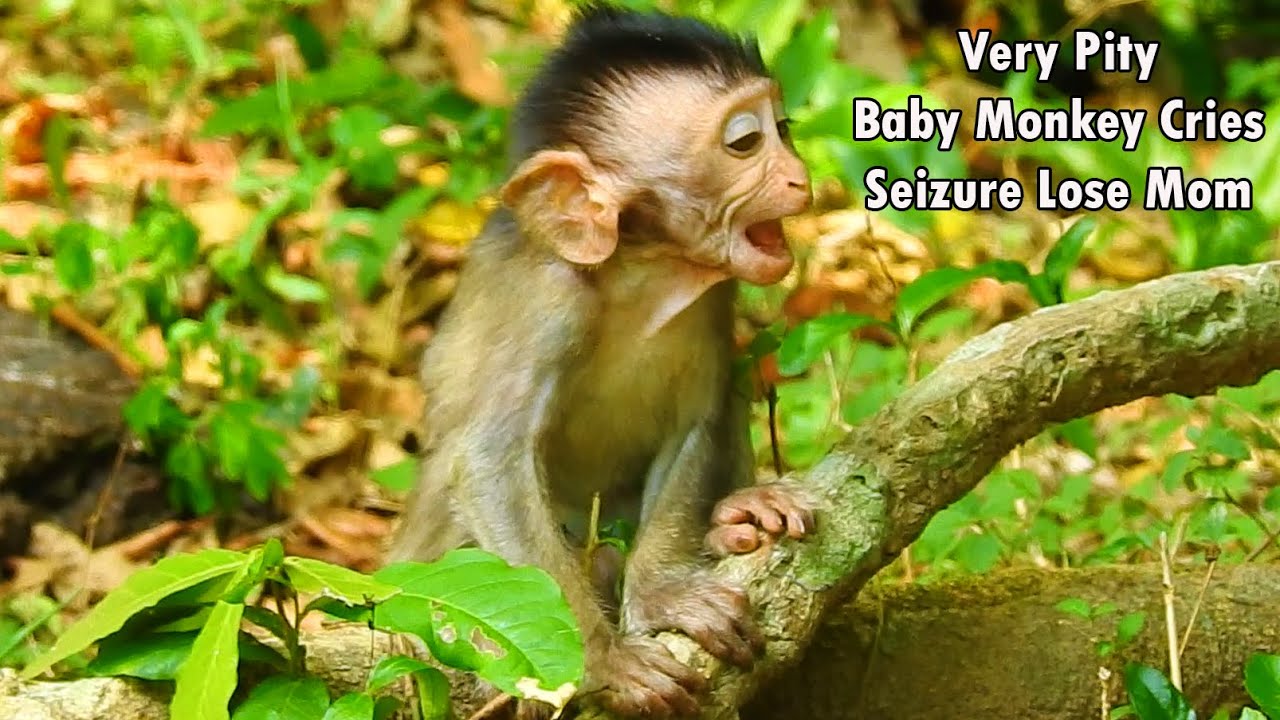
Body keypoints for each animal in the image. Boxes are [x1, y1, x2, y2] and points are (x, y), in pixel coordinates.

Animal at [387, 5, 816, 717]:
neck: (641, 271)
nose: (798, 176)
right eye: (745, 143)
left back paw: (734, 517)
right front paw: (601, 663)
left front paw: (663, 589)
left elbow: (696, 420)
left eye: (783, 132)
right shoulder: (546, 302)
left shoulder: (712, 293)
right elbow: (490, 463)